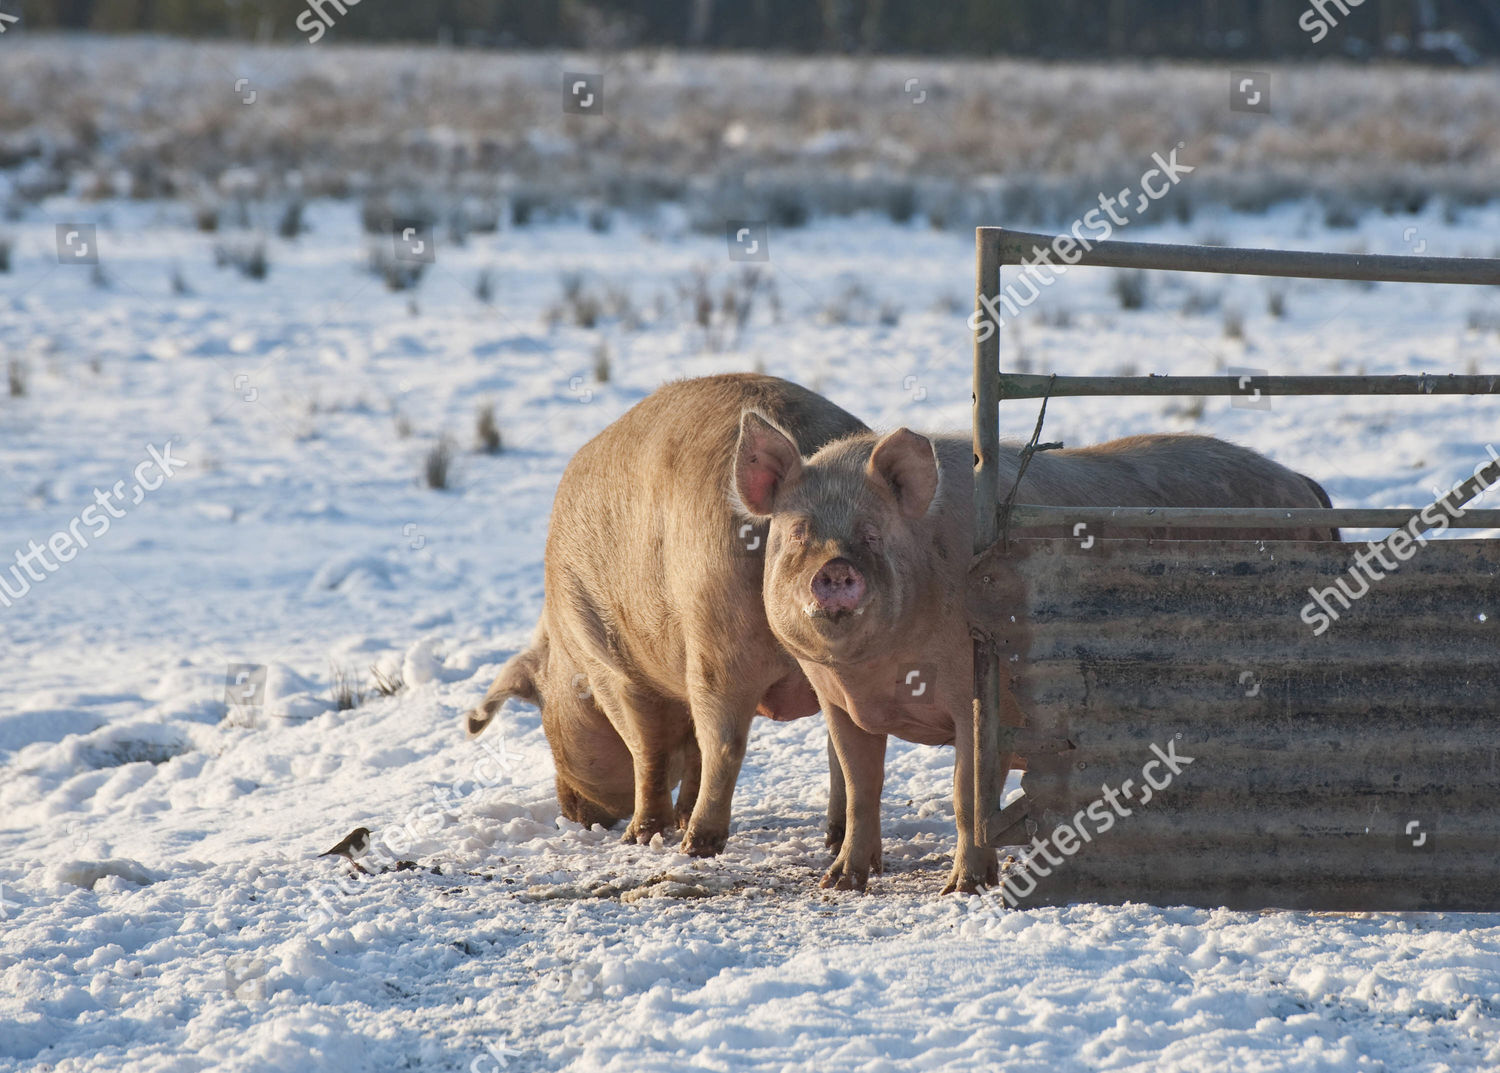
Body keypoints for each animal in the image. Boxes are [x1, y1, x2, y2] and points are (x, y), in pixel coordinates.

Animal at [466, 374, 867, 855]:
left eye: (545, 716)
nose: (572, 814)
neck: (567, 651)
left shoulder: (611, 665)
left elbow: (648, 750)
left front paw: (643, 836)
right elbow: (687, 751)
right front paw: (674, 817)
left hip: (718, 635)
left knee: (725, 743)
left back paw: (696, 843)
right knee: (839, 747)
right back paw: (833, 838)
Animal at [734, 421, 1338, 894]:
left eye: (873, 533)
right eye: (797, 532)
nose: (835, 568)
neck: (877, 675)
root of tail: (1305, 485)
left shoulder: (982, 698)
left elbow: (968, 795)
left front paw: (964, 888)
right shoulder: (840, 703)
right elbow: (862, 789)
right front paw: (840, 882)